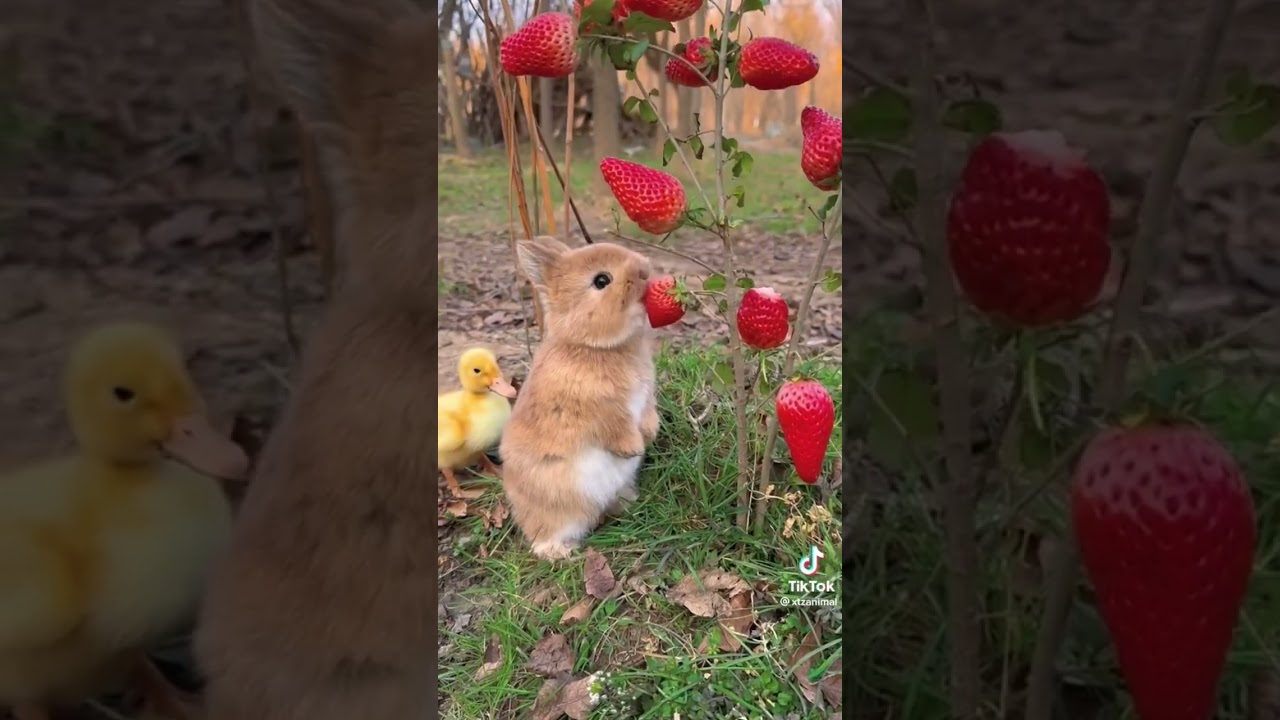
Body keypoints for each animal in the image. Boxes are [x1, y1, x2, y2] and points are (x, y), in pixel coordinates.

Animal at [499, 236, 660, 560]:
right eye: (601, 281)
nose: (645, 271)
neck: (593, 346)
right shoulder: (601, 411)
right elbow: (617, 429)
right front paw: (635, 448)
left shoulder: (646, 396)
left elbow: (648, 412)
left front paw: (651, 433)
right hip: (557, 507)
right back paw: (560, 553)